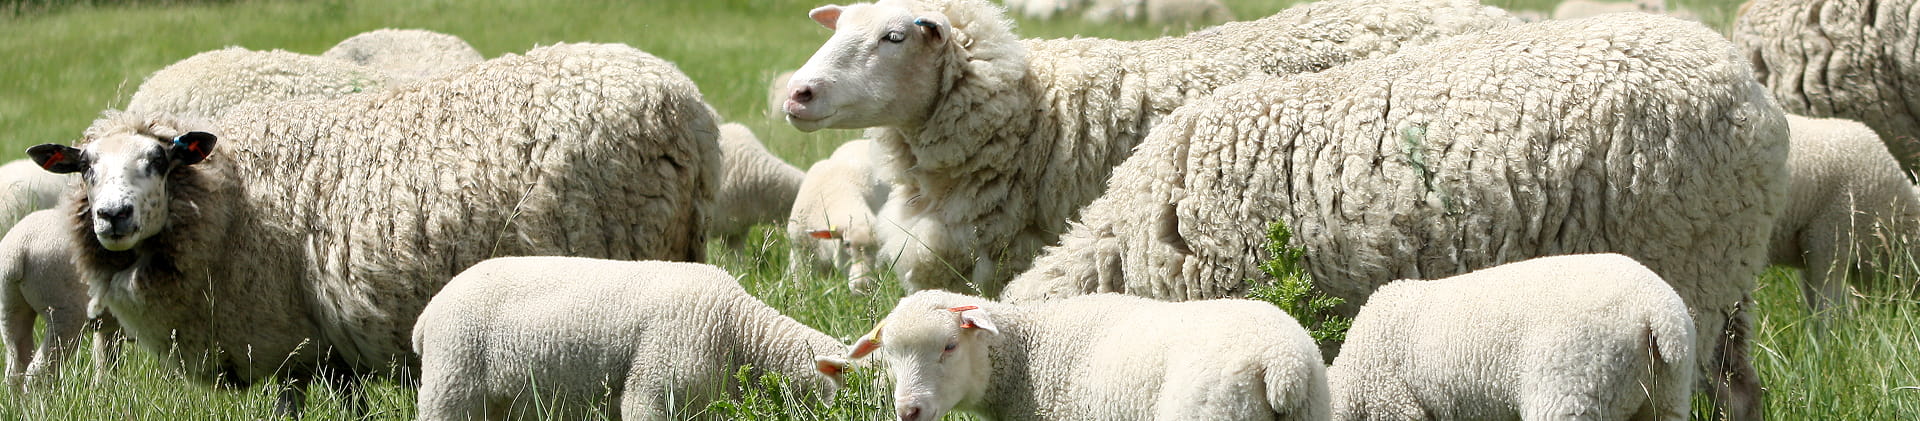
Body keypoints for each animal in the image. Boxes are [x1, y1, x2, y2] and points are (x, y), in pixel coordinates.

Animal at [1, 210, 121, 391]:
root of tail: (19, 249)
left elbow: (105, 358)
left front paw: (104, 390)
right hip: (65, 311)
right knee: (38, 371)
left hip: (9, 306)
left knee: (15, 368)